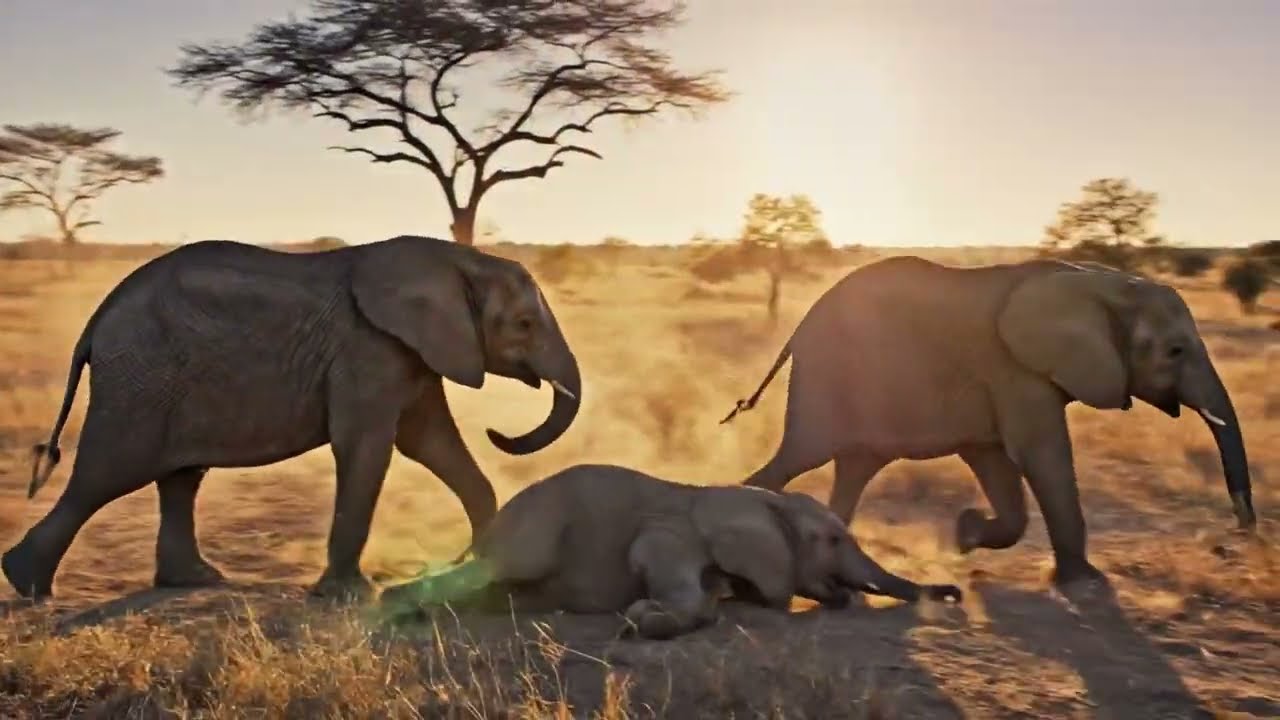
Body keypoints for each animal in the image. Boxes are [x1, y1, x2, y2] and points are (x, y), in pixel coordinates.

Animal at [2, 234, 582, 602]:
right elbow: (368, 447)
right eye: (524, 324)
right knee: (106, 474)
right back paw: (27, 585)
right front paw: (346, 598)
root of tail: (96, 319)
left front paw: (485, 563)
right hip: (140, 378)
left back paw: (196, 582)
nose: (499, 430)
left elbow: (429, 441)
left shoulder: (410, 352)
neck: (459, 260)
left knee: (179, 477)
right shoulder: (368, 348)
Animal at [377, 463, 962, 640]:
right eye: (833, 541)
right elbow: (663, 568)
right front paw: (643, 618)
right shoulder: (671, 533)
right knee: (496, 568)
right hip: (533, 533)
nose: (955, 593)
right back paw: (395, 604)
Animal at [720, 256, 1256, 588]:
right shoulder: (1015, 370)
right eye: (1175, 351)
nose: (1239, 536)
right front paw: (1085, 581)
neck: (1104, 282)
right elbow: (1041, 454)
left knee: (855, 466)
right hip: (826, 380)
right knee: (798, 458)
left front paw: (966, 534)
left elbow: (997, 462)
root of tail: (798, 328)